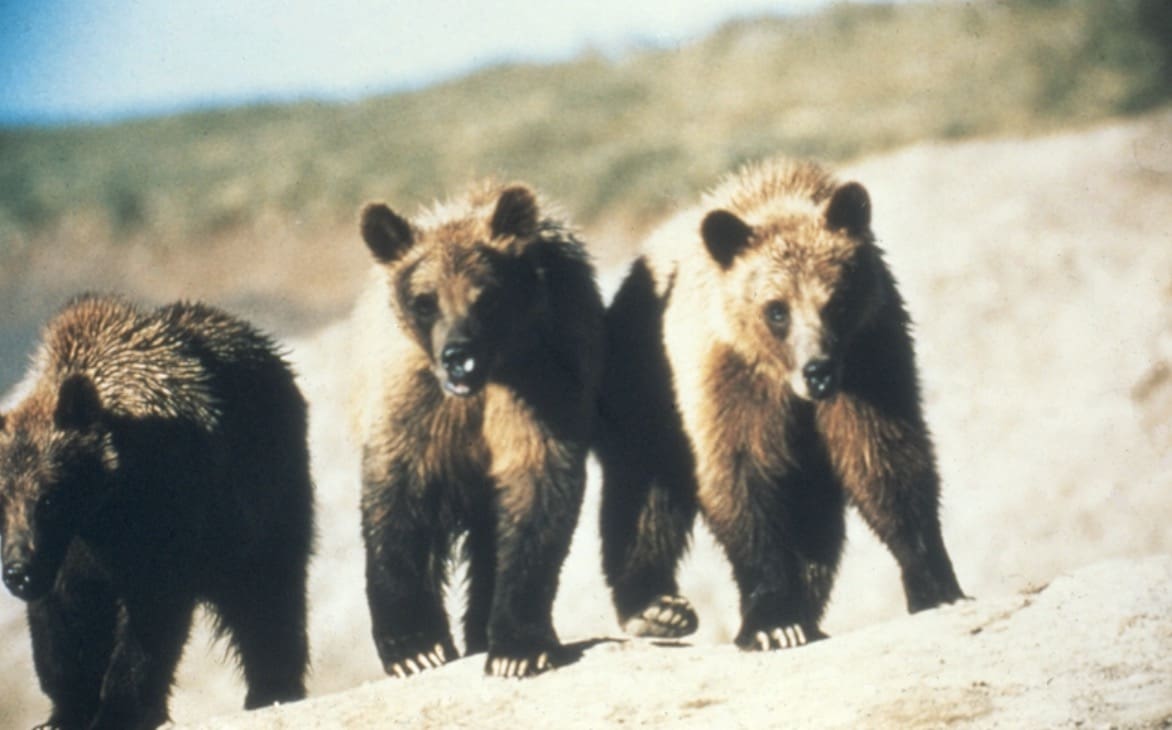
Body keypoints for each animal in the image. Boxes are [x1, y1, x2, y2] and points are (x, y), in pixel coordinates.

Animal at [0, 294, 314, 730]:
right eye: (1, 499)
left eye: (48, 498)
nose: (18, 572)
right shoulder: (72, 558)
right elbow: (62, 624)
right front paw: (65, 710)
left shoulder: (167, 516)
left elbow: (151, 617)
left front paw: (121, 709)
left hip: (263, 500)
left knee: (270, 590)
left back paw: (272, 688)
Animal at [350, 181, 604, 678]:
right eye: (424, 301)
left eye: (485, 297)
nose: (457, 356)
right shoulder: (412, 401)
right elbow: (395, 497)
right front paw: (414, 646)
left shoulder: (544, 382)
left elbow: (537, 494)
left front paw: (517, 647)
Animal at [596, 158, 964, 650]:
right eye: (776, 309)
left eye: (836, 301)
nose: (818, 371)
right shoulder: (731, 383)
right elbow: (743, 480)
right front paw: (773, 621)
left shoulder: (871, 360)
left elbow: (884, 460)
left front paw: (934, 584)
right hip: (643, 390)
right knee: (645, 493)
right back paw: (656, 608)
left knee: (816, 517)